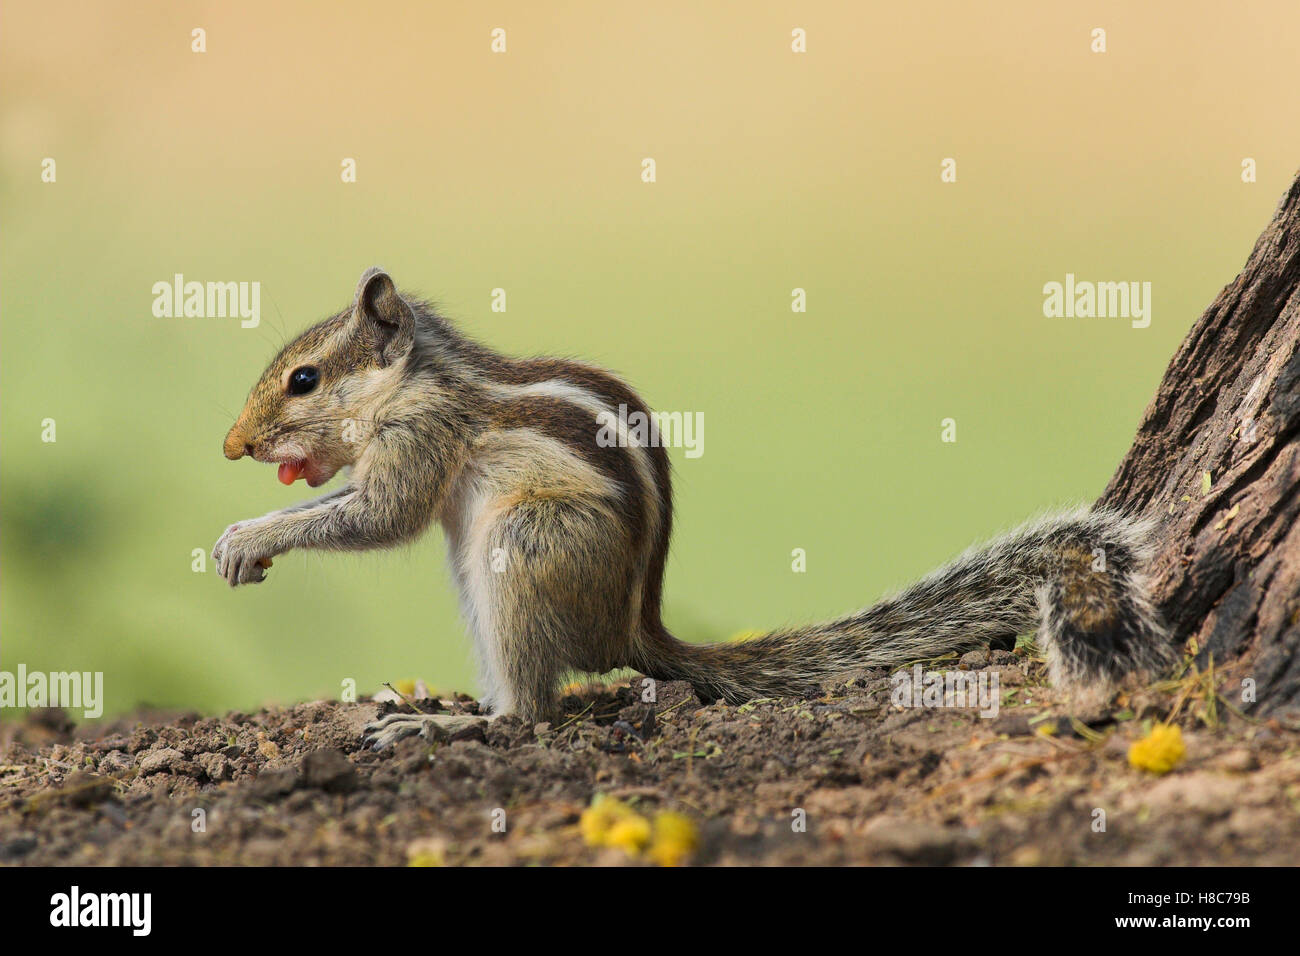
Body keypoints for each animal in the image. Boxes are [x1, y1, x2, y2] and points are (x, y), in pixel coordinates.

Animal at [213, 266, 1176, 748]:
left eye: (304, 380)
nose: (232, 446)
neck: (414, 378)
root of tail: (635, 631)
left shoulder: (422, 434)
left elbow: (380, 517)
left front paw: (249, 536)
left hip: (525, 545)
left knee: (534, 712)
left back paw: (448, 727)